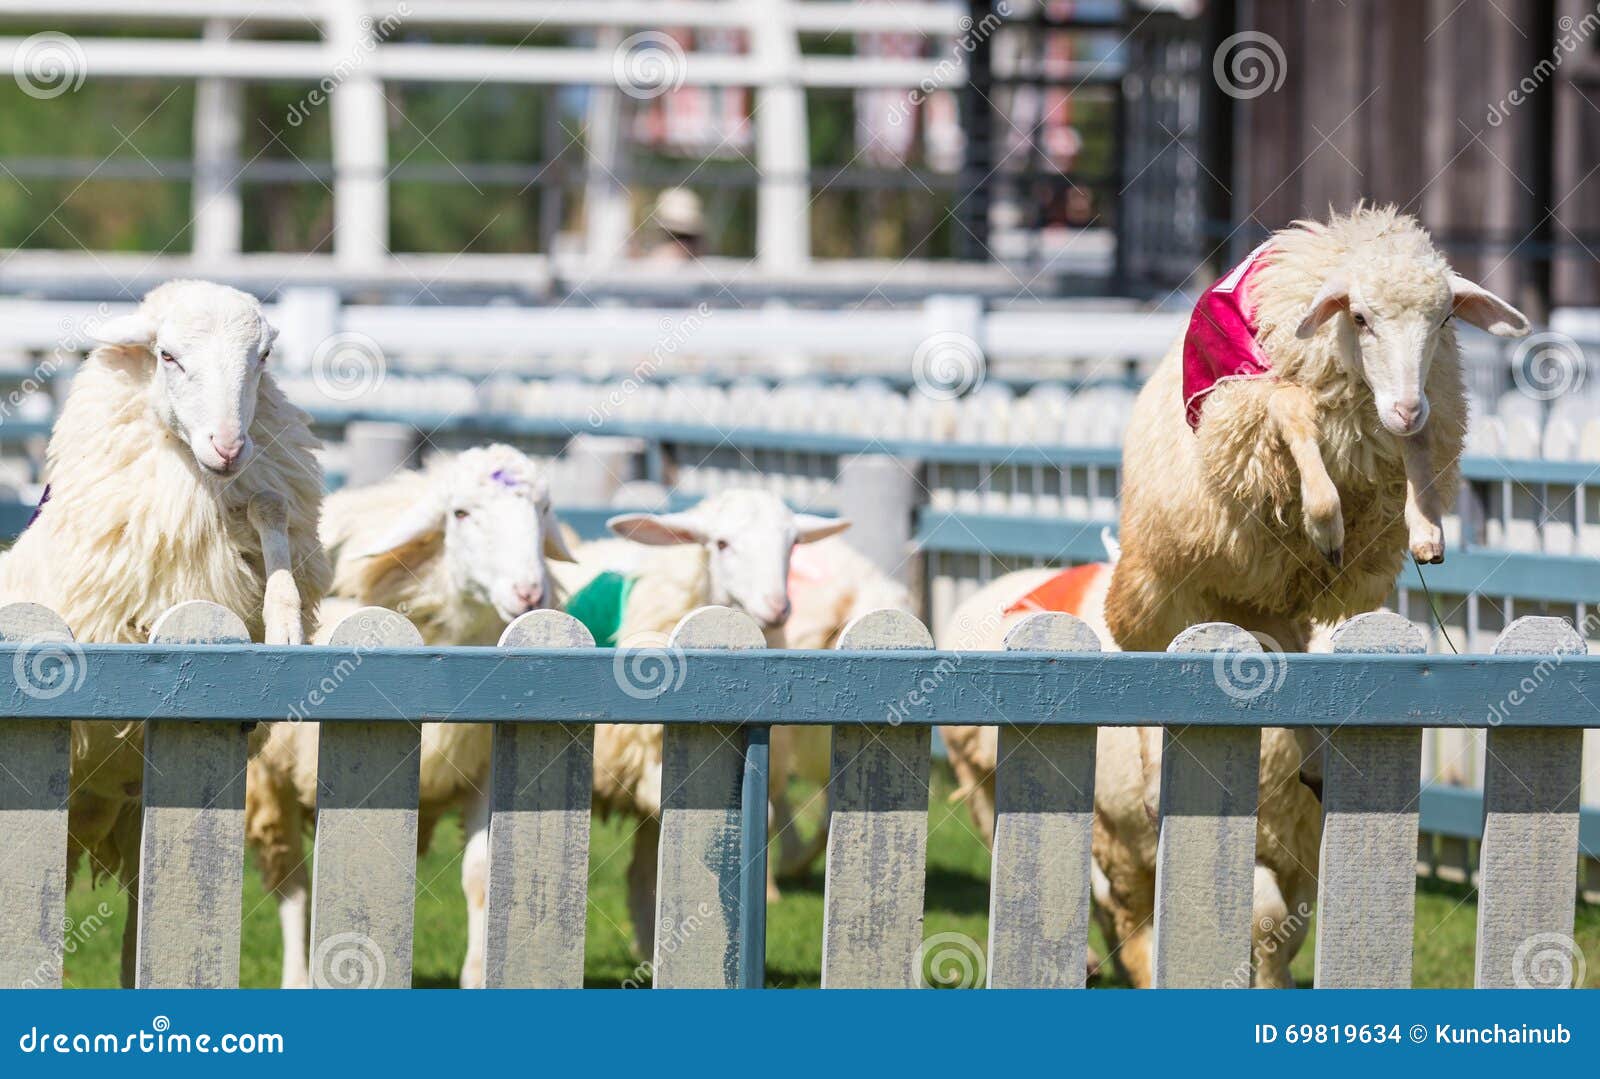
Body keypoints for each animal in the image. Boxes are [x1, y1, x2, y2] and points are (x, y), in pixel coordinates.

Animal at [0, 279, 329, 986]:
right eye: (167, 356)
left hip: (132, 814)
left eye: (262, 357)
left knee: (135, 944)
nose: (230, 447)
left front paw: (285, 610)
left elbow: (273, 525)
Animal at [245, 444, 573, 988]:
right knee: (290, 881)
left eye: (543, 509)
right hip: (268, 779)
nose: (531, 594)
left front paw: (476, 975)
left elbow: (480, 876)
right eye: (459, 514)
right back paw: (295, 975)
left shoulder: (482, 766)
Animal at [1092, 204, 1528, 987]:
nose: (1407, 406)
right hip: (1162, 589)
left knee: (1291, 687)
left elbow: (1417, 458)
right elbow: (1293, 413)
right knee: (1147, 678)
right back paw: (1155, 781)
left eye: (1447, 317)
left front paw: (1427, 527)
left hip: (1274, 610)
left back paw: (1319, 763)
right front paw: (1323, 516)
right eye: (1358, 316)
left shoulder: (1410, 427)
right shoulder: (1251, 400)